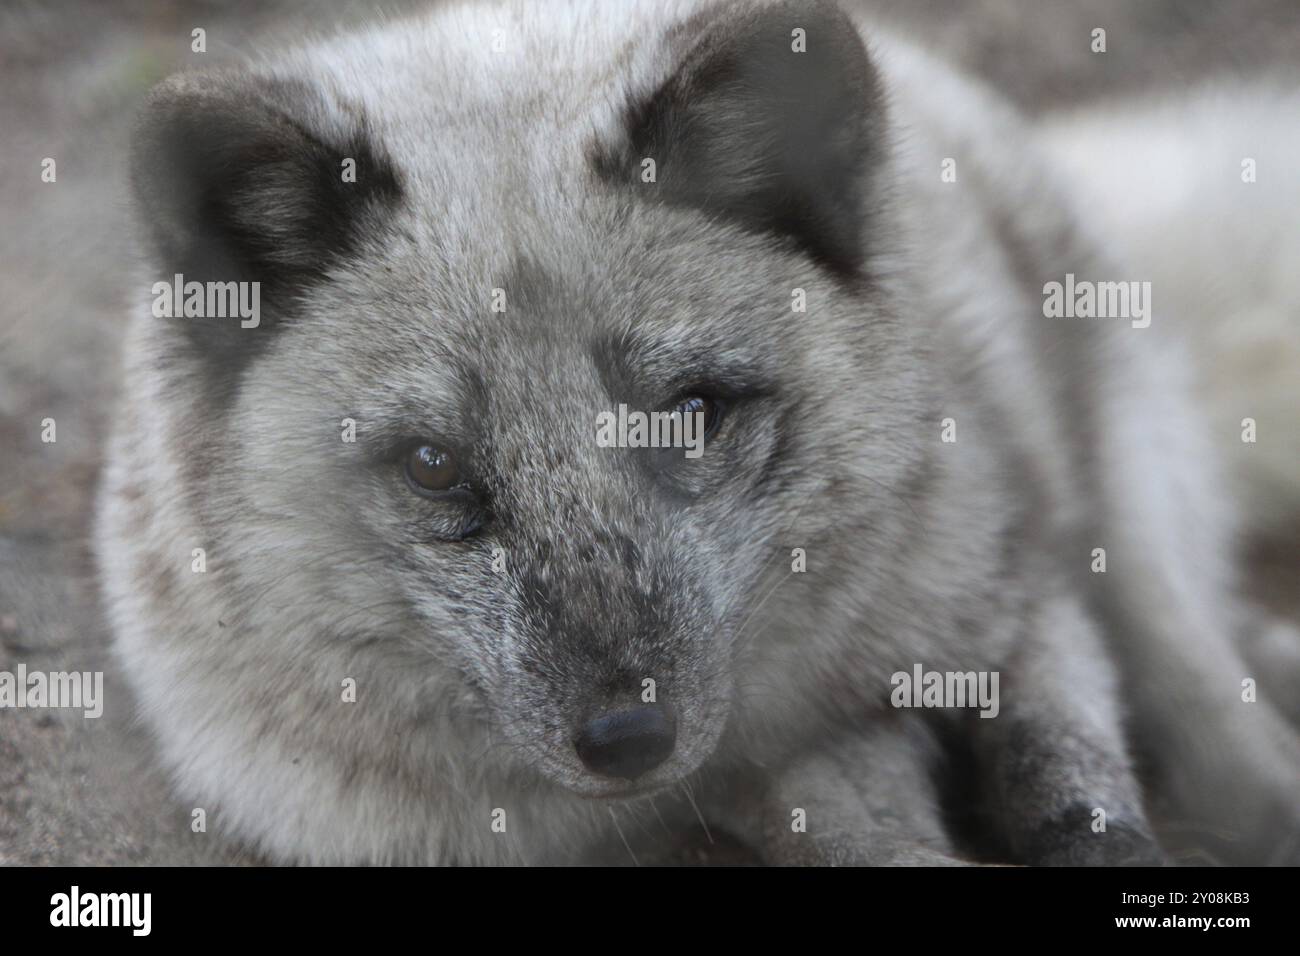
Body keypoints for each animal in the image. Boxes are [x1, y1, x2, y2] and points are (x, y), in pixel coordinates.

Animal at [95, 0, 1300, 865]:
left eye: (687, 414)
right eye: (434, 467)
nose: (628, 739)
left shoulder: (1016, 583)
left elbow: (1072, 770)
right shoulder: (791, 762)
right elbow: (883, 842)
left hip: (1123, 479)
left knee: (1201, 680)